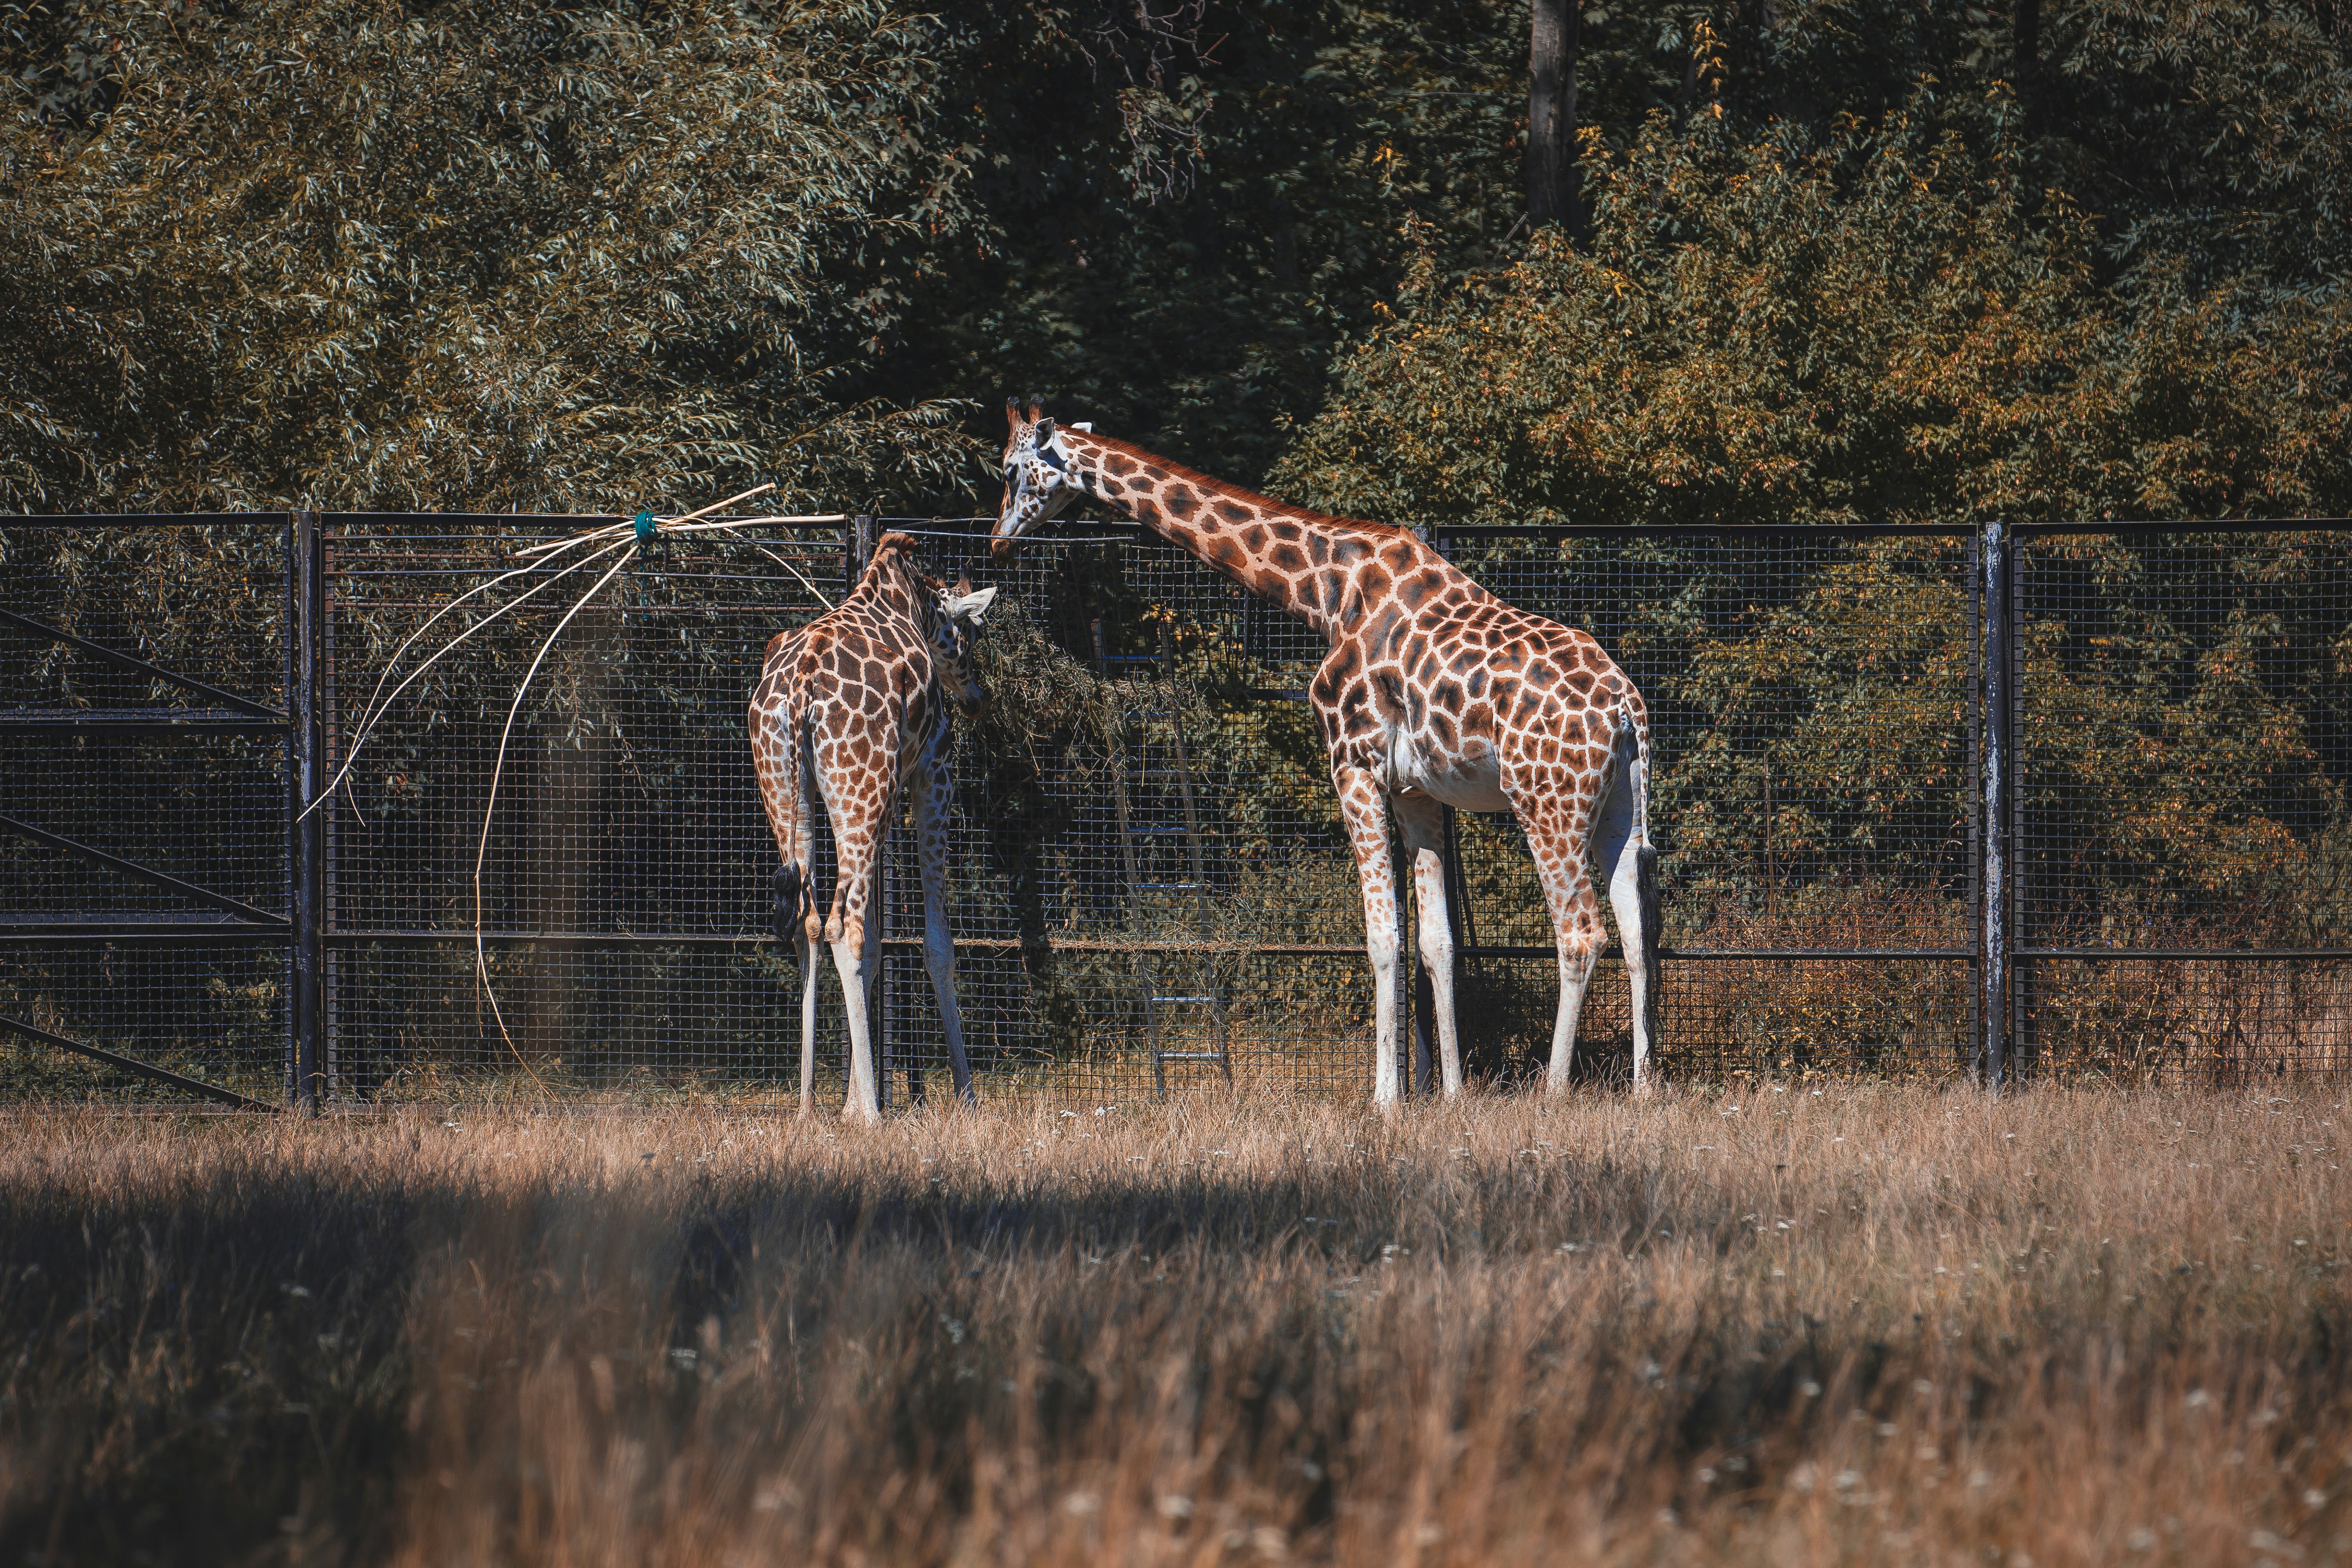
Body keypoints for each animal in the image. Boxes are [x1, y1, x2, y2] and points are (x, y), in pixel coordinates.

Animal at [748, 530, 998, 1122]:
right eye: (973, 634)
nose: (977, 699)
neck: (912, 602)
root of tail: (800, 689)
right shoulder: (932, 770)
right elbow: (934, 944)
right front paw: (967, 1097)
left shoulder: (879, 791)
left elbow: (879, 946)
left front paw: (844, 1104)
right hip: (860, 786)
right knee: (846, 927)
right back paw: (873, 1117)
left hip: (791, 789)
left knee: (810, 924)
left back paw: (805, 1107)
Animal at [991, 400, 1661, 1101]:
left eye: (1008, 470)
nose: (995, 541)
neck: (1324, 594)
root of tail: (1625, 706)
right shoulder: (1415, 791)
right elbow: (1437, 943)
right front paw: (1451, 1095)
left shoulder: (1352, 764)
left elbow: (1382, 938)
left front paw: (1386, 1100)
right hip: (1619, 804)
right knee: (1638, 930)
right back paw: (1645, 1089)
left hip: (1546, 802)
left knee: (1580, 932)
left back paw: (1554, 1092)